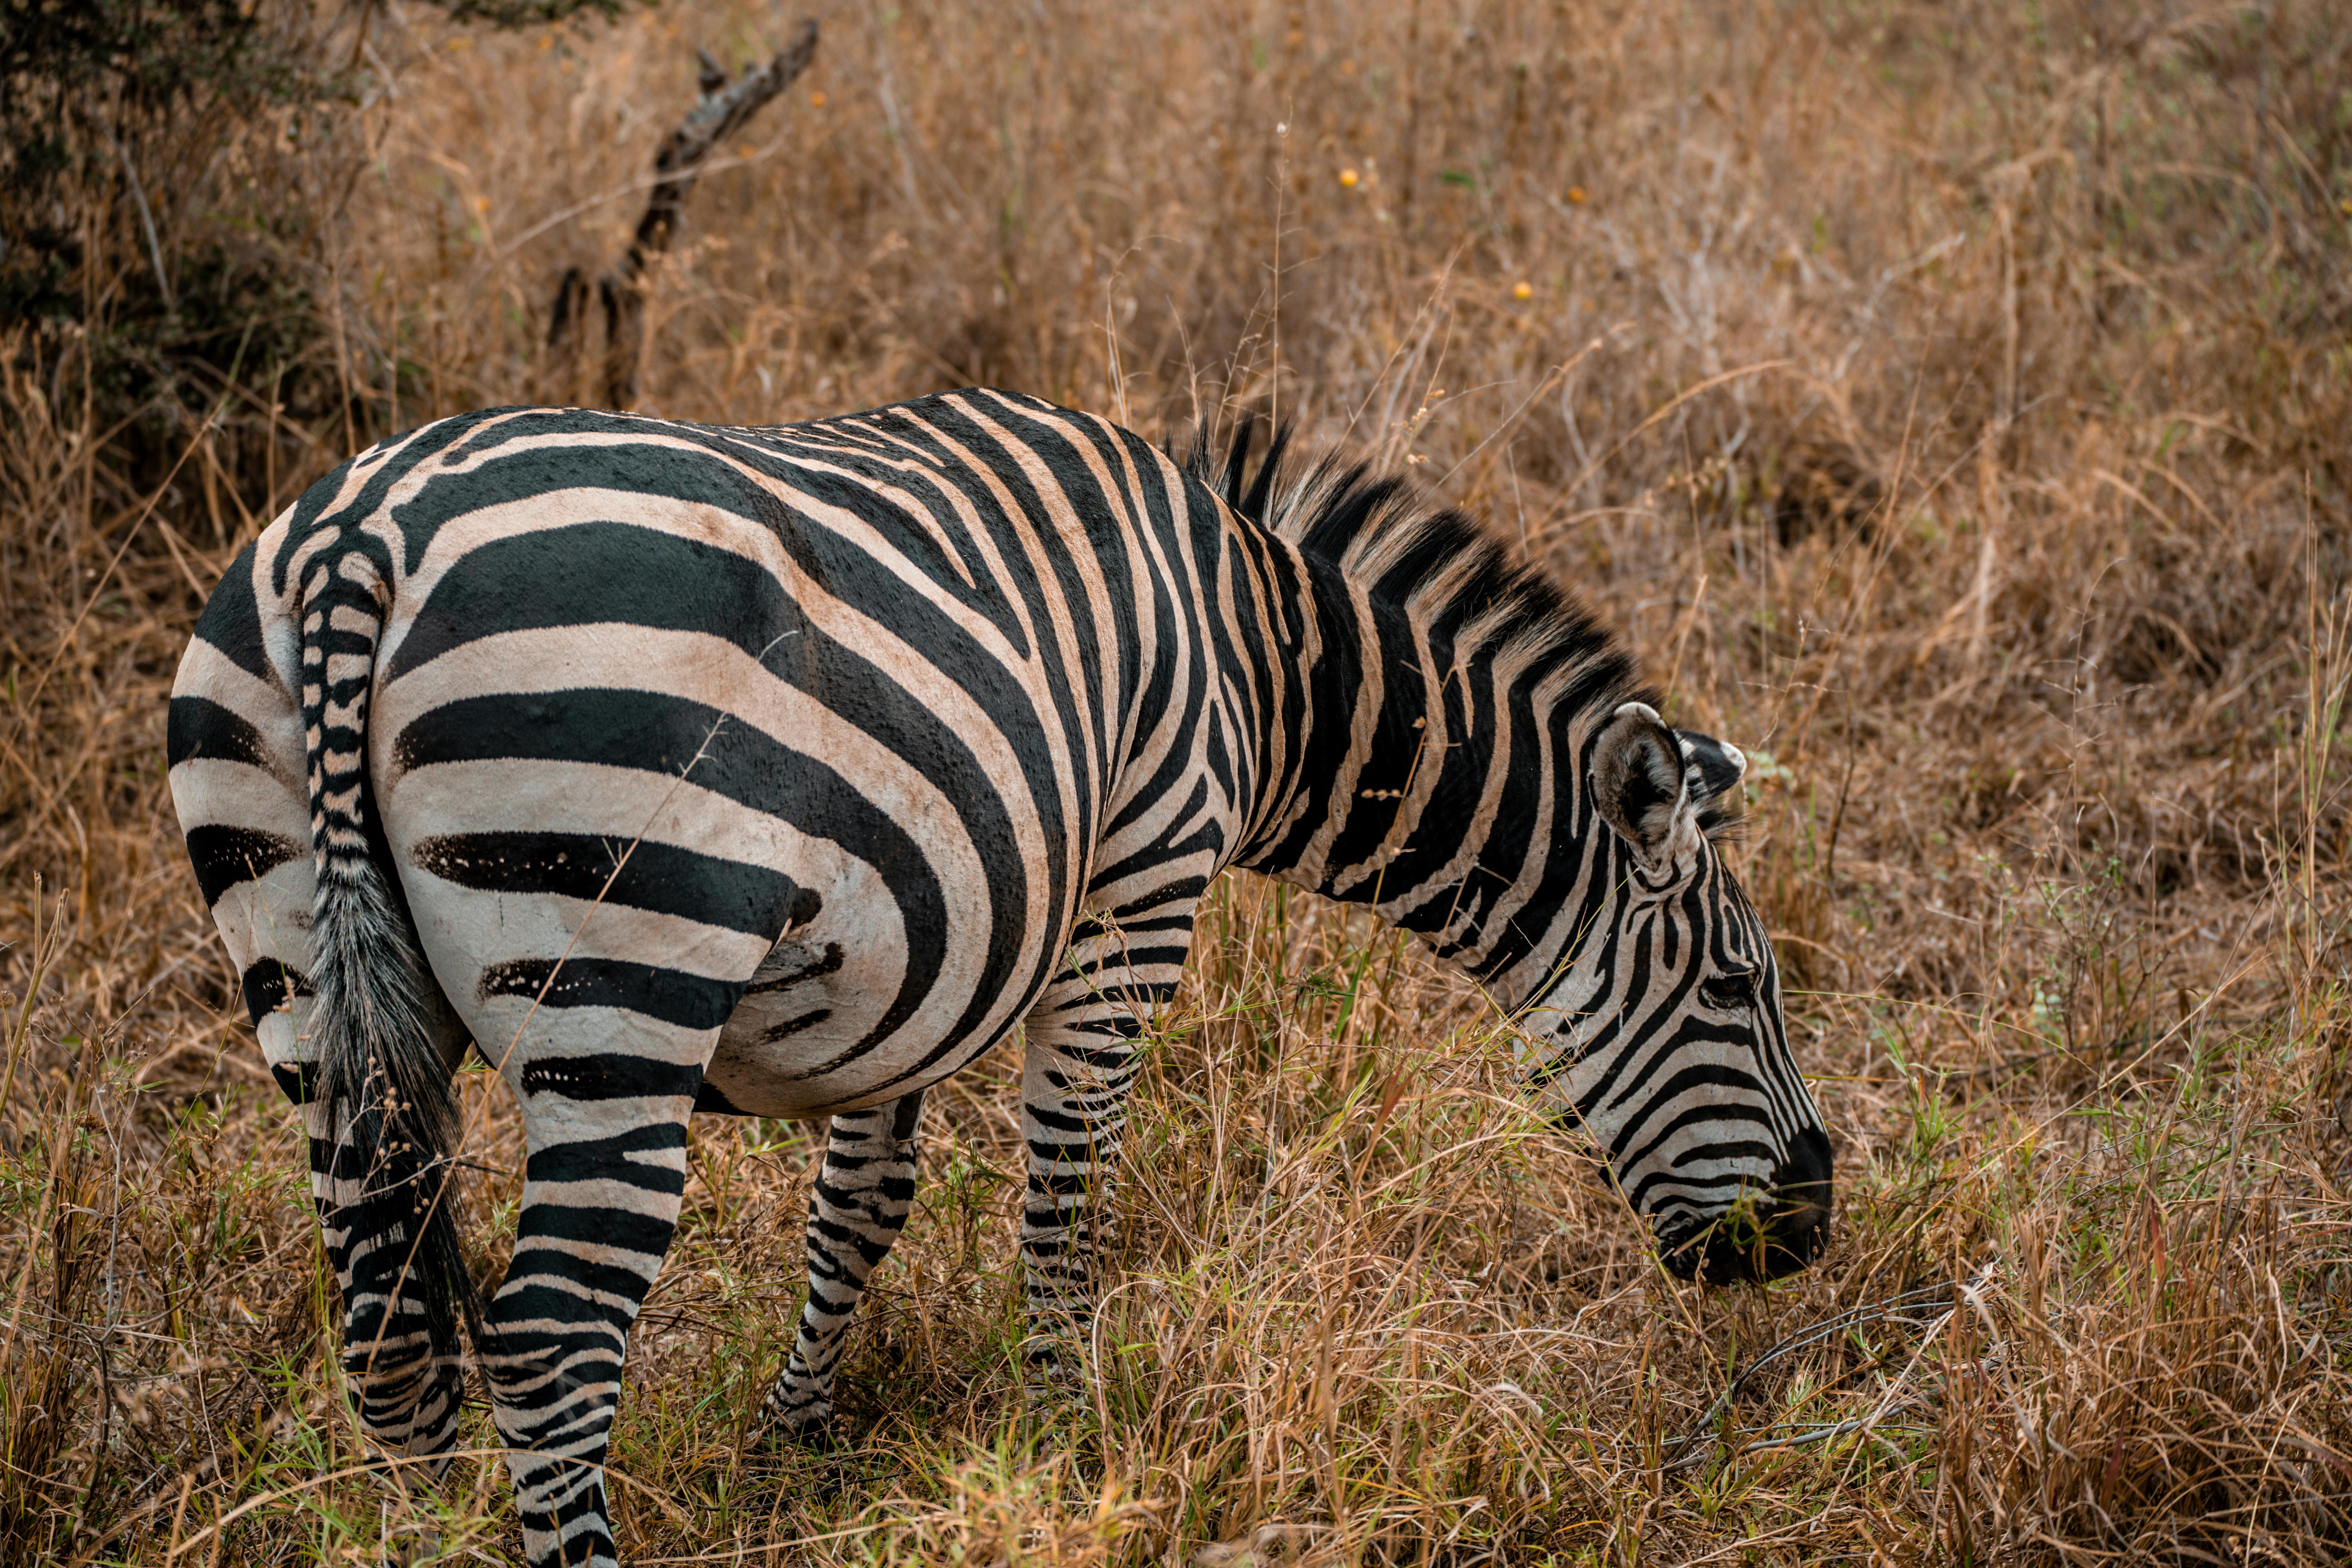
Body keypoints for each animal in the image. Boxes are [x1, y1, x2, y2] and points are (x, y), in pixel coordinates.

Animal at [169, 390, 1831, 1568]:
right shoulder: (1136, 888)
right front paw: (1072, 1432)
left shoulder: (910, 948)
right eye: (1738, 992)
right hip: (620, 974)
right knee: (551, 1340)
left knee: (387, 1332)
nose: (1809, 1229)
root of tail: (360, 544)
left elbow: (861, 1206)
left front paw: (791, 1446)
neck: (1262, 662)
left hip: (296, 953)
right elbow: (1066, 1180)